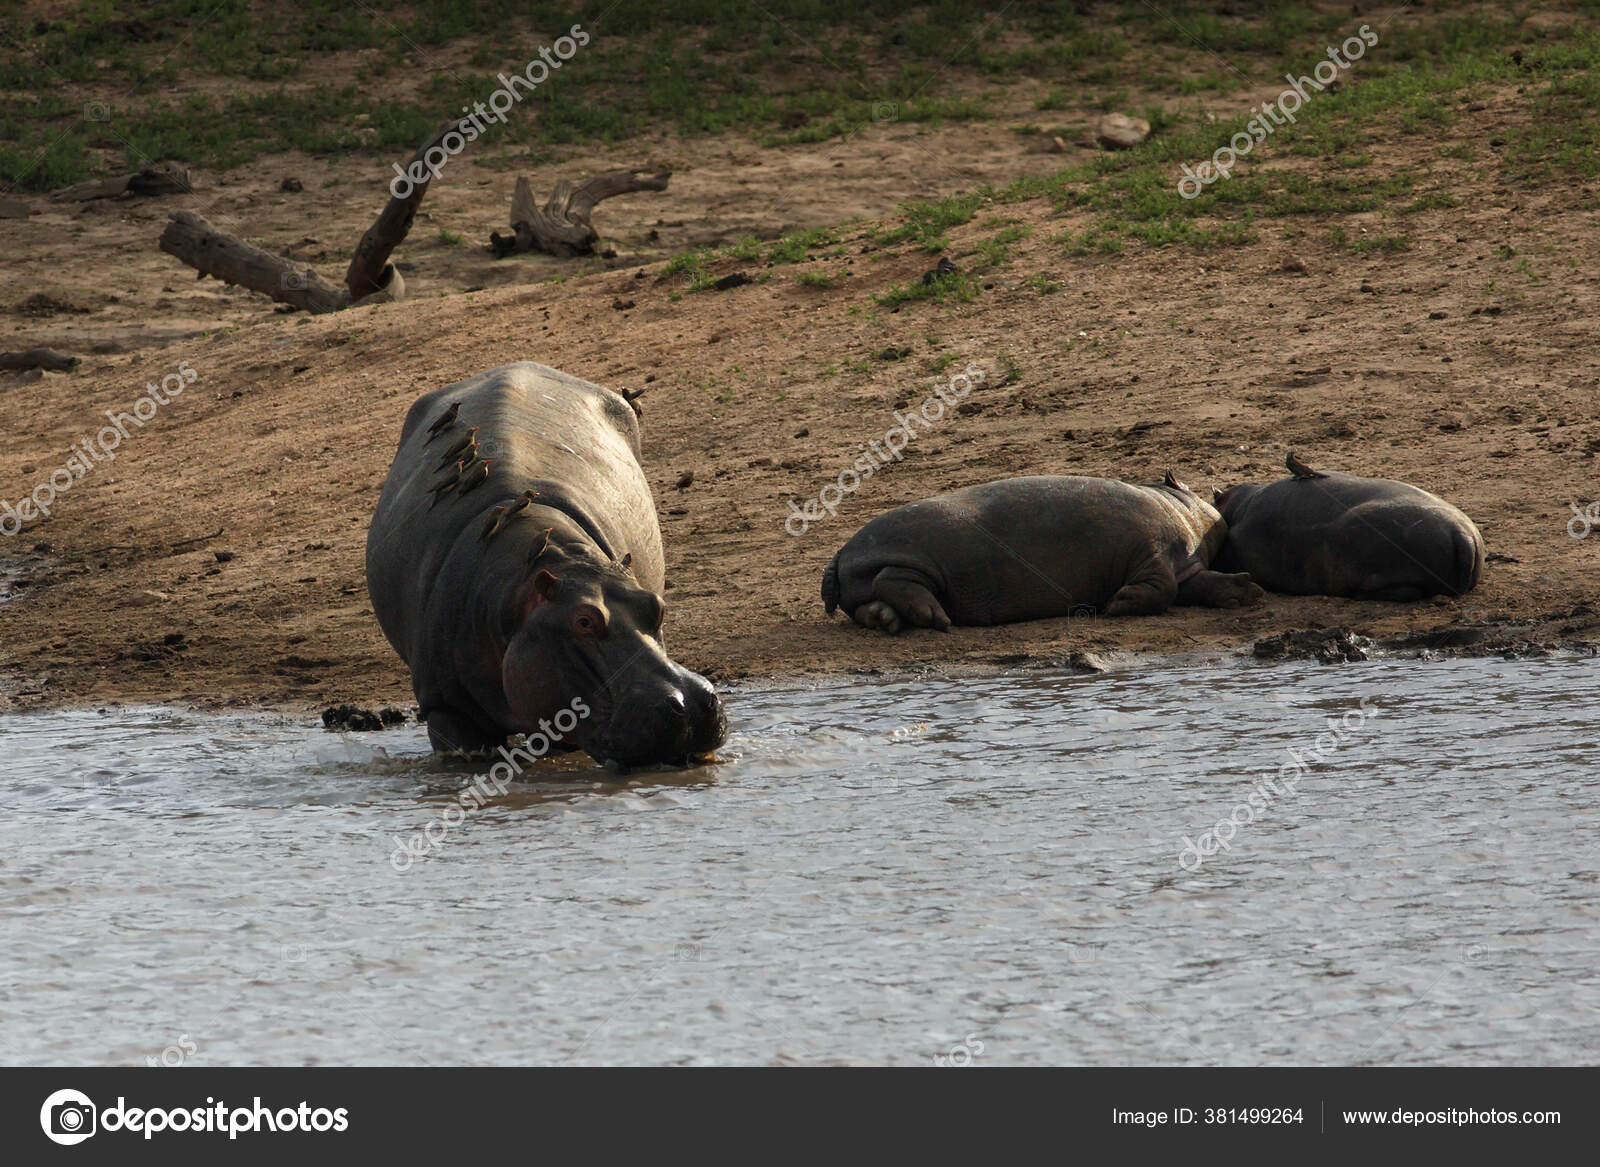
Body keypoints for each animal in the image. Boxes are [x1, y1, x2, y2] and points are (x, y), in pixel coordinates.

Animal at [821, 472, 1264, 633]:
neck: (1186, 511)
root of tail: (840, 550)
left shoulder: (1186, 568)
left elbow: (1202, 584)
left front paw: (1246, 590)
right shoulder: (1152, 554)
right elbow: (1161, 589)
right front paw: (1117, 605)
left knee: (872, 604)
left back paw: (890, 621)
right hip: (917, 563)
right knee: (895, 580)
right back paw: (938, 620)